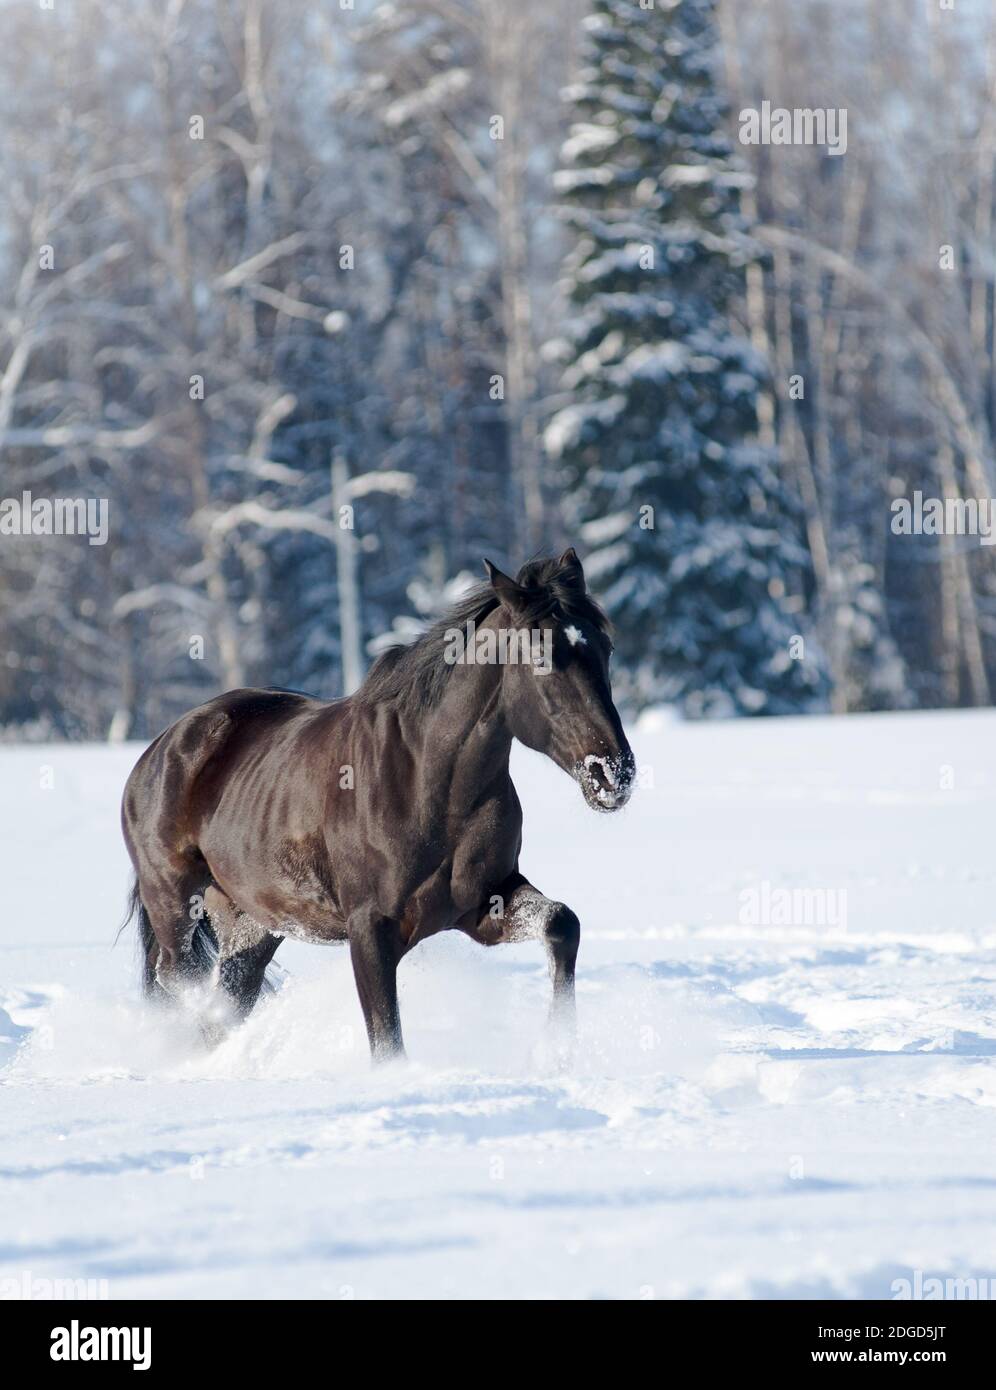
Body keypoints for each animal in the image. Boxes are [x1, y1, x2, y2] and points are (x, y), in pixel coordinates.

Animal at [121, 549, 635, 1062]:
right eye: (542, 656)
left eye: (607, 648)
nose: (614, 772)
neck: (428, 786)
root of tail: (163, 746)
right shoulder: (371, 928)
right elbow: (386, 1035)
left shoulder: (484, 904)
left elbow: (562, 923)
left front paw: (558, 1048)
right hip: (174, 899)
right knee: (180, 979)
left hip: (251, 921)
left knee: (229, 994)